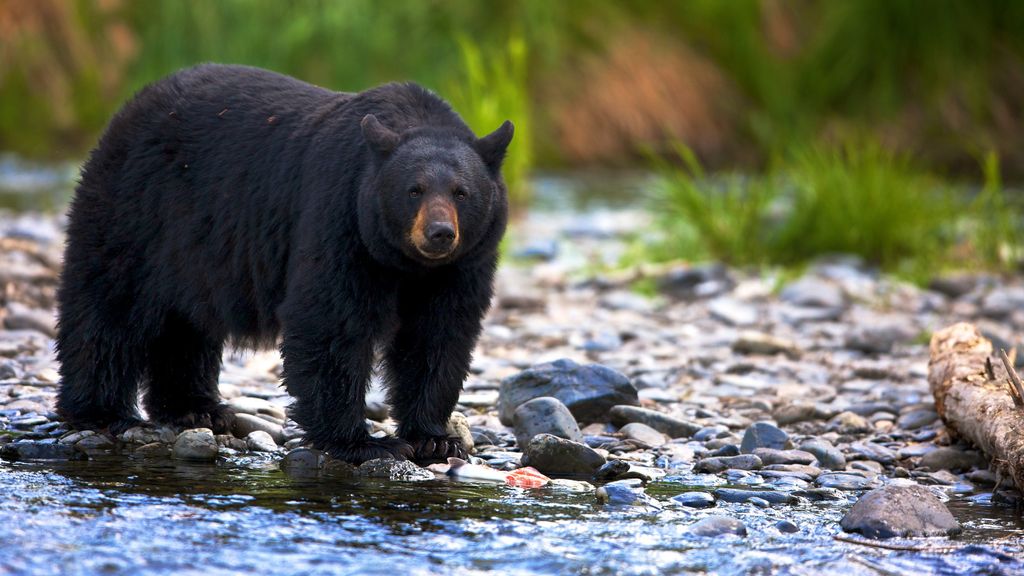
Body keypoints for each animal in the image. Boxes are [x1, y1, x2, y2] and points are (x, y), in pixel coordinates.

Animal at [55, 63, 512, 464]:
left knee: (186, 325)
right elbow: (332, 322)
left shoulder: (461, 265)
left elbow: (438, 336)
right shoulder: (339, 218)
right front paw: (362, 442)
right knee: (109, 306)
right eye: (413, 190)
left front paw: (434, 438)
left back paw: (196, 408)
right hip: (137, 210)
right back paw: (100, 411)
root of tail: (132, 106)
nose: (439, 233)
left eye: (461, 192)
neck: (405, 262)